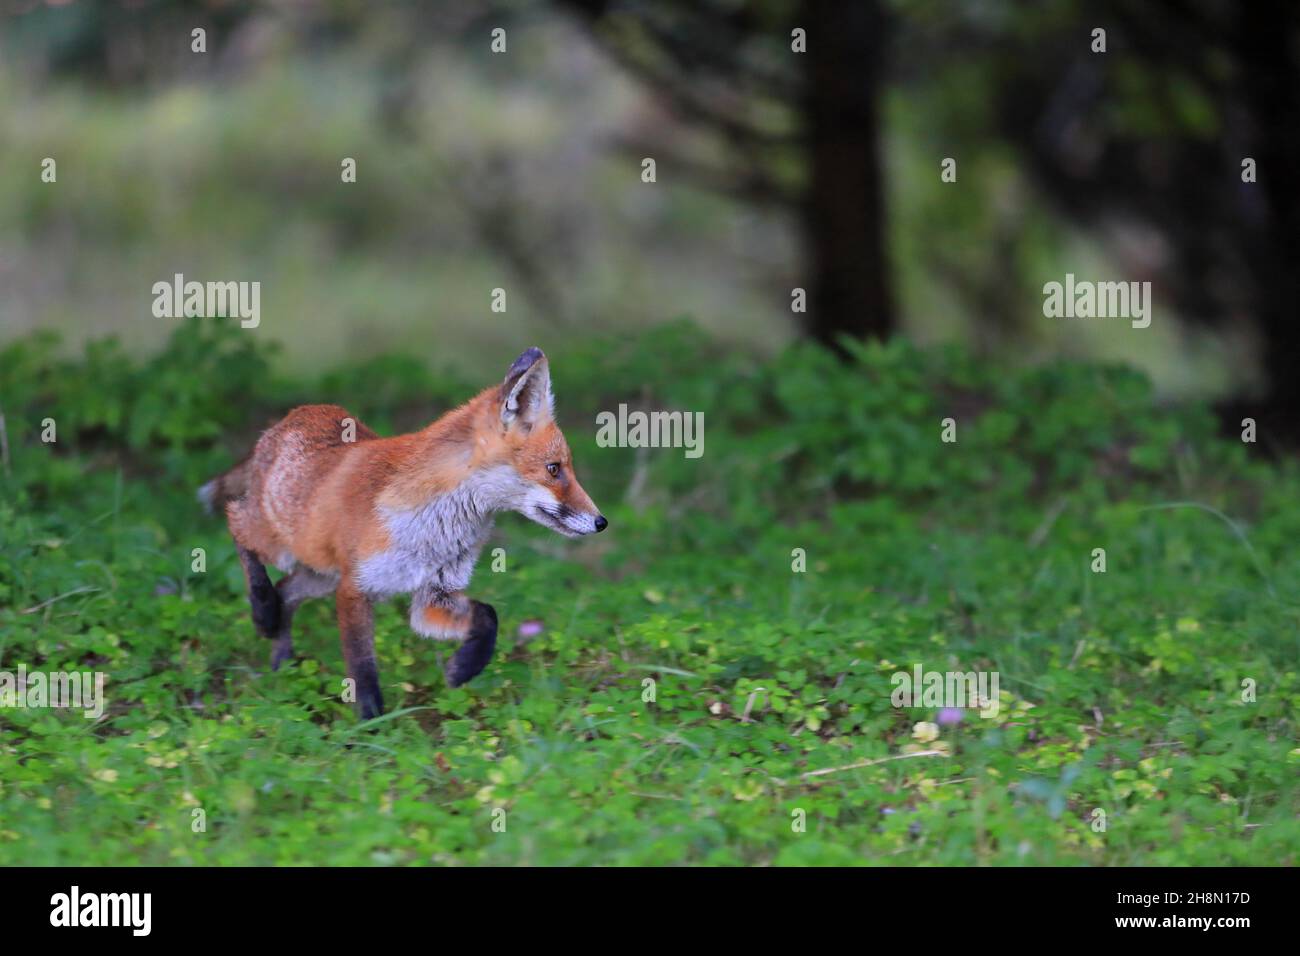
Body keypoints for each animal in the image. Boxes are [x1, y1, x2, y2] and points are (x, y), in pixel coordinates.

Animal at [199, 347, 606, 719]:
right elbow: (363, 670)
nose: (601, 522)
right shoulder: (355, 588)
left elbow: (487, 616)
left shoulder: (433, 595)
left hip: (322, 575)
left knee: (286, 592)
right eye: (554, 469)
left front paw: (462, 669)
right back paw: (262, 611)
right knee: (236, 522)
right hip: (283, 546)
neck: (434, 529)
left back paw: (280, 660)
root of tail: (289, 418)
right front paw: (370, 726)